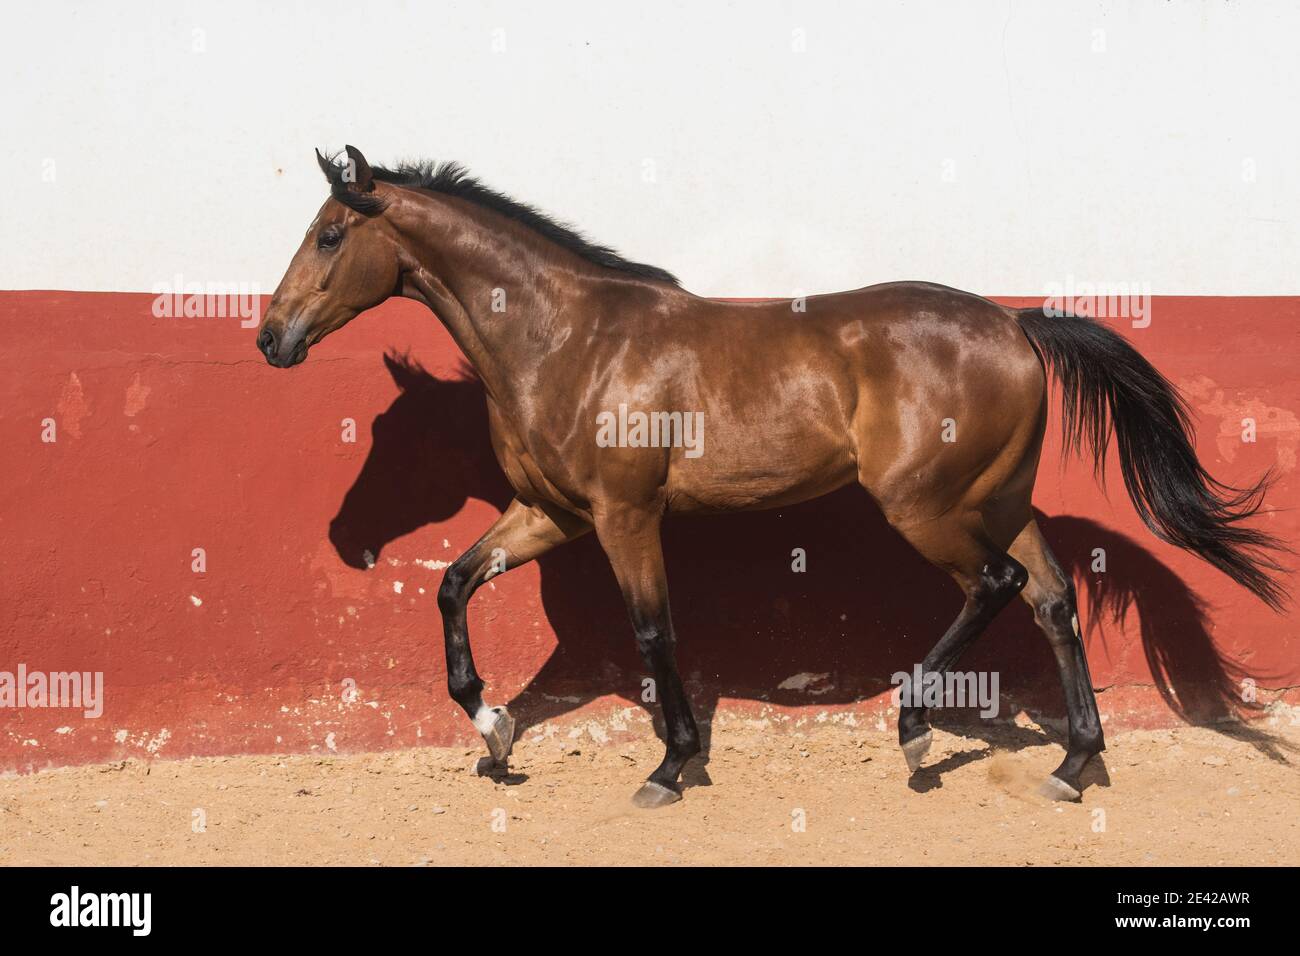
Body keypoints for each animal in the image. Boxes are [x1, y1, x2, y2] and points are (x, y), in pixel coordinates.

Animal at [257, 145, 1286, 808]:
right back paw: (1073, 766)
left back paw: (916, 730)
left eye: (330, 233)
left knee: (996, 586)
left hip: (926, 508)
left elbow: (653, 632)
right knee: (1053, 597)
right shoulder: (550, 512)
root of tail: (1015, 322)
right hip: (995, 499)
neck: (566, 341)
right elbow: (454, 583)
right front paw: (492, 728)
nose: (271, 338)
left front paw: (671, 766)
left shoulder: (626, 516)